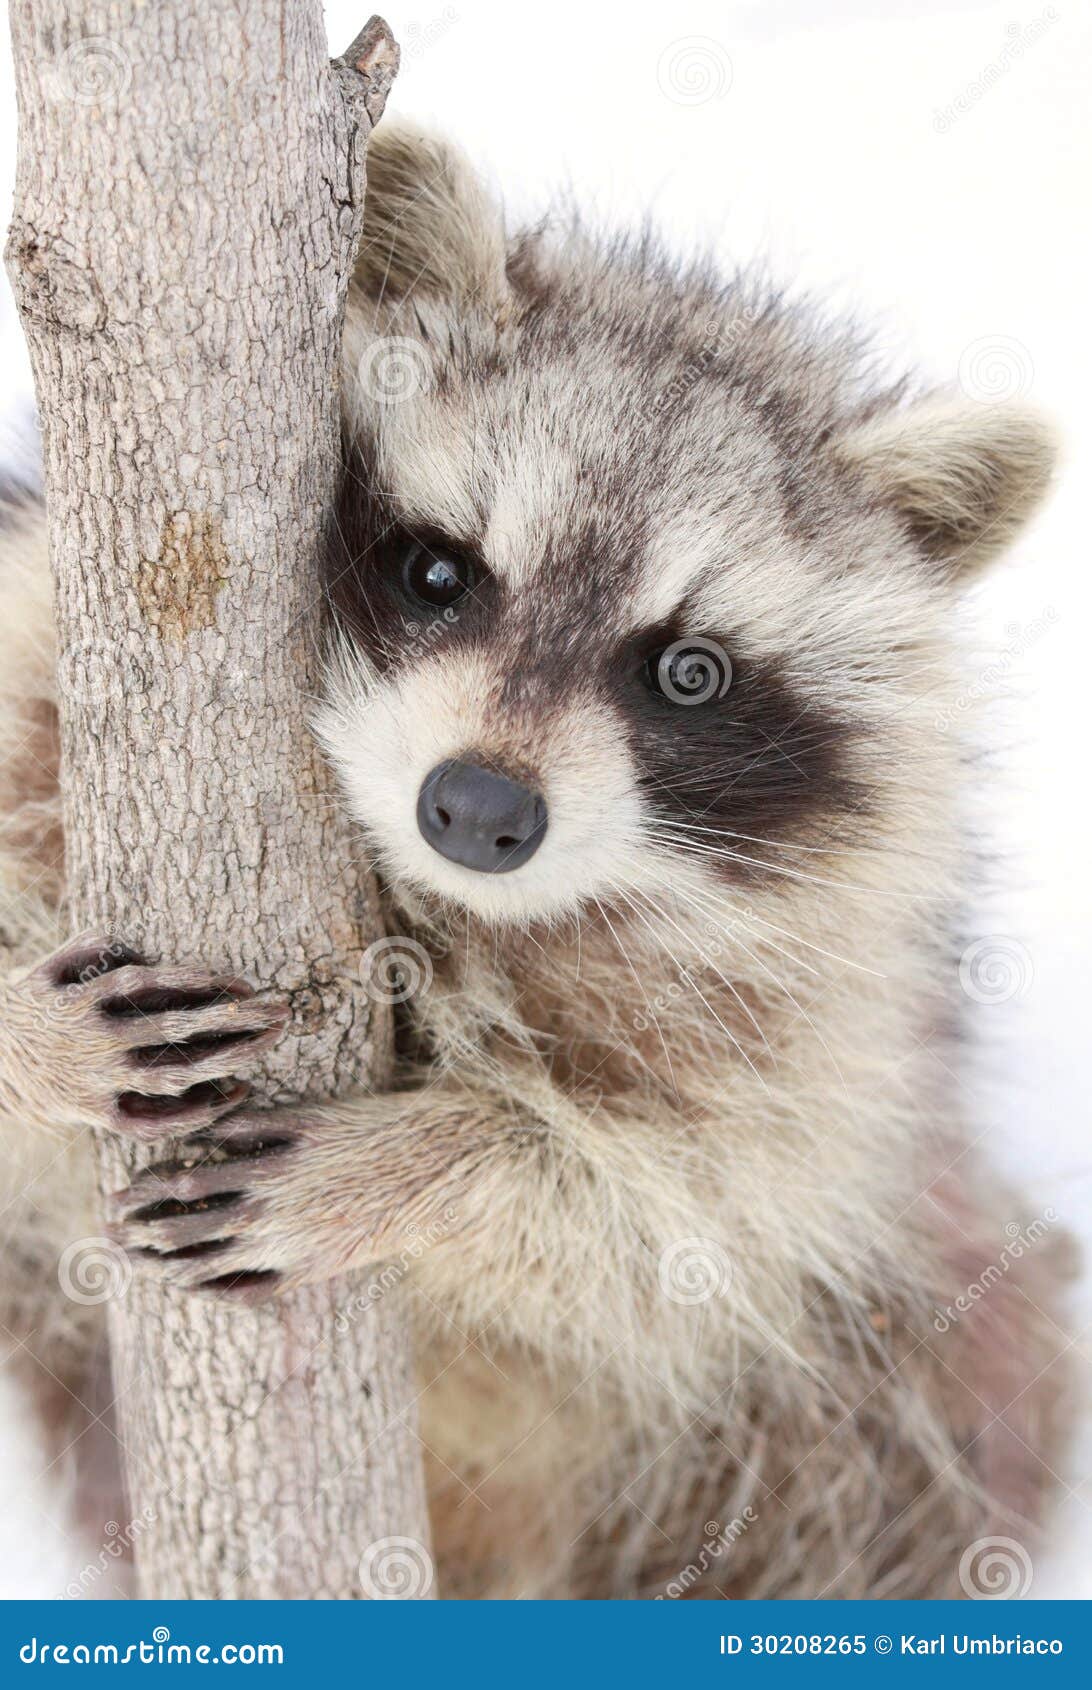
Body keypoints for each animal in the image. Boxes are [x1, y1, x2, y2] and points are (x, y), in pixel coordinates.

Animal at [0, 122, 1072, 1599]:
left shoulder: (829, 1028)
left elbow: (701, 1224)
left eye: (689, 672)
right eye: (439, 574)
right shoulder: (36, 672)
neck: (446, 903)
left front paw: (432, 1166)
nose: (478, 809)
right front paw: (25, 1032)